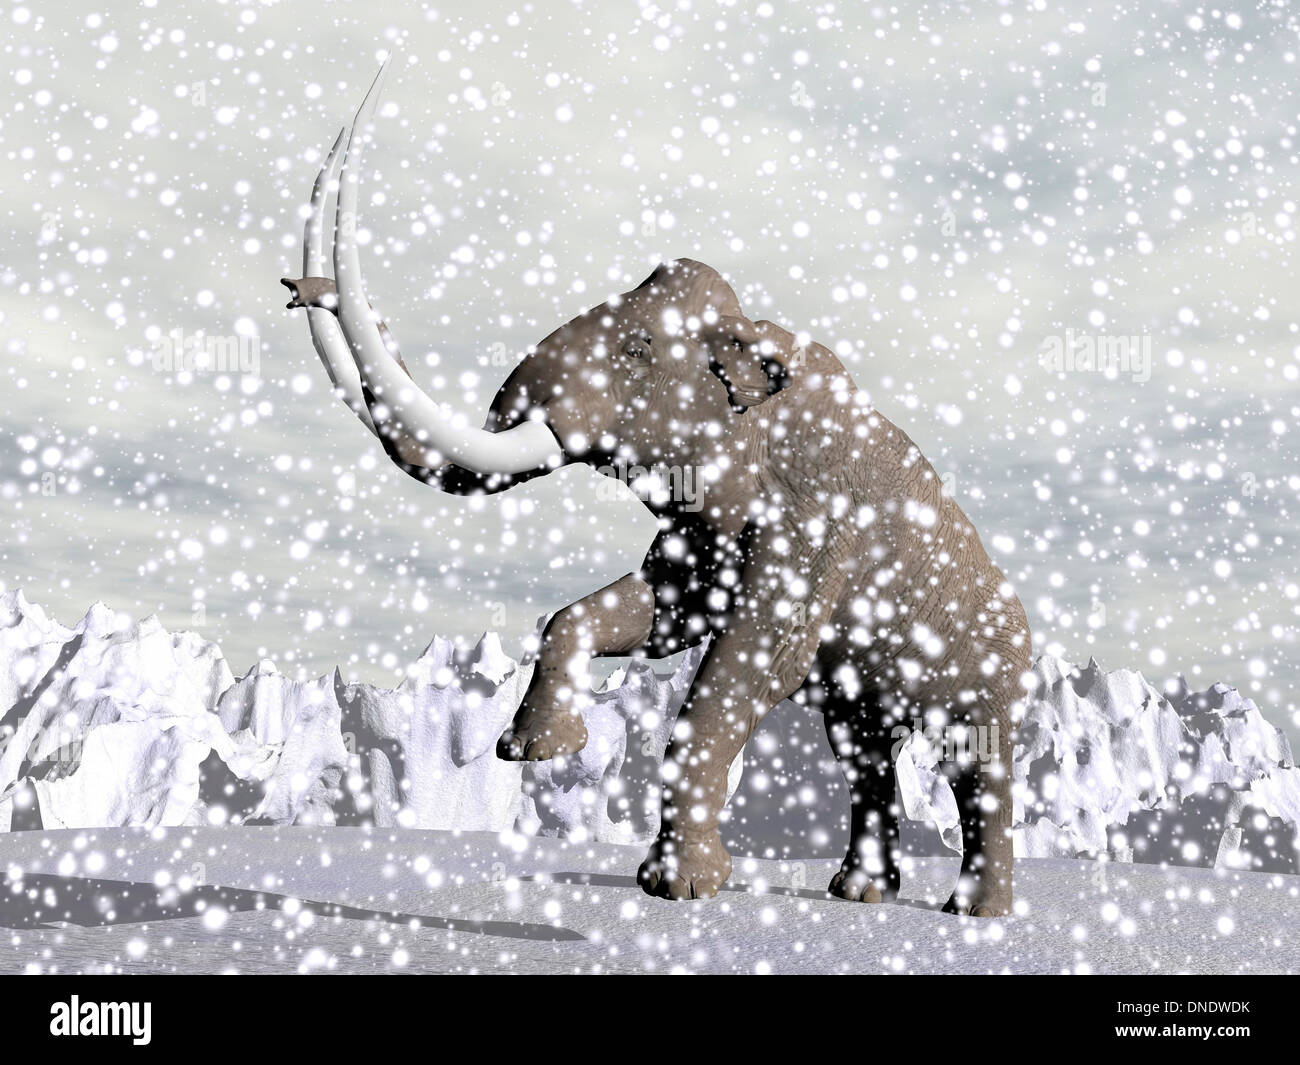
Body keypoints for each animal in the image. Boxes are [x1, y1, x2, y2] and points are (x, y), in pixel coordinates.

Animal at [281, 58, 1031, 917]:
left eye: (639, 348)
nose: (300, 287)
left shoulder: (814, 525)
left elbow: (756, 657)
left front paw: (679, 887)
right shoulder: (705, 532)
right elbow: (654, 614)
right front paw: (532, 749)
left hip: (991, 671)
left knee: (977, 763)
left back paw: (974, 909)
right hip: (872, 700)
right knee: (864, 750)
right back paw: (857, 893)